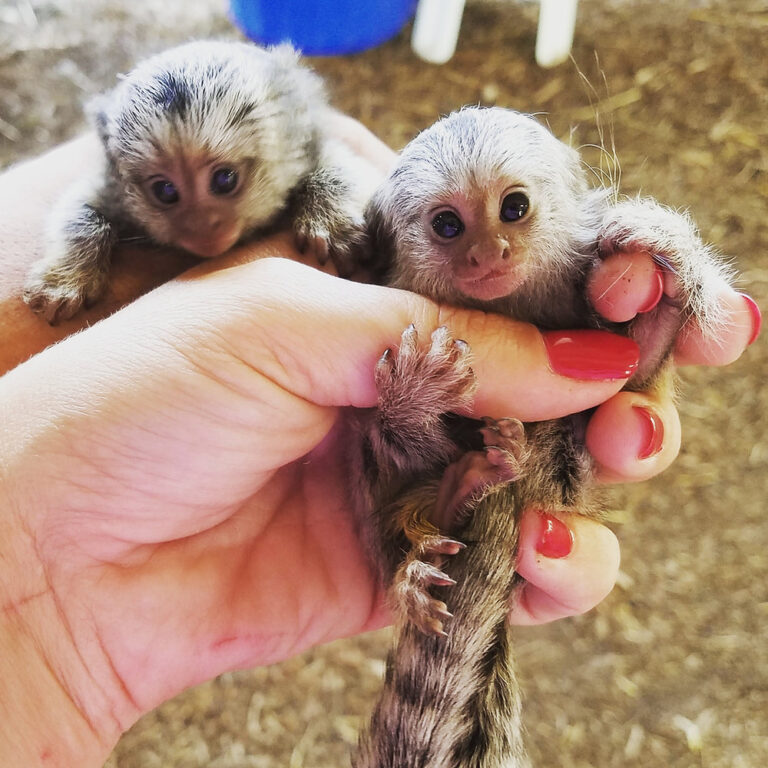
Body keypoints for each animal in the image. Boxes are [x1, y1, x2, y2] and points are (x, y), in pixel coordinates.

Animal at [23, 40, 375, 324]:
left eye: (224, 180)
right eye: (165, 191)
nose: (201, 227)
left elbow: (341, 169)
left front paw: (330, 221)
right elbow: (78, 208)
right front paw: (66, 276)